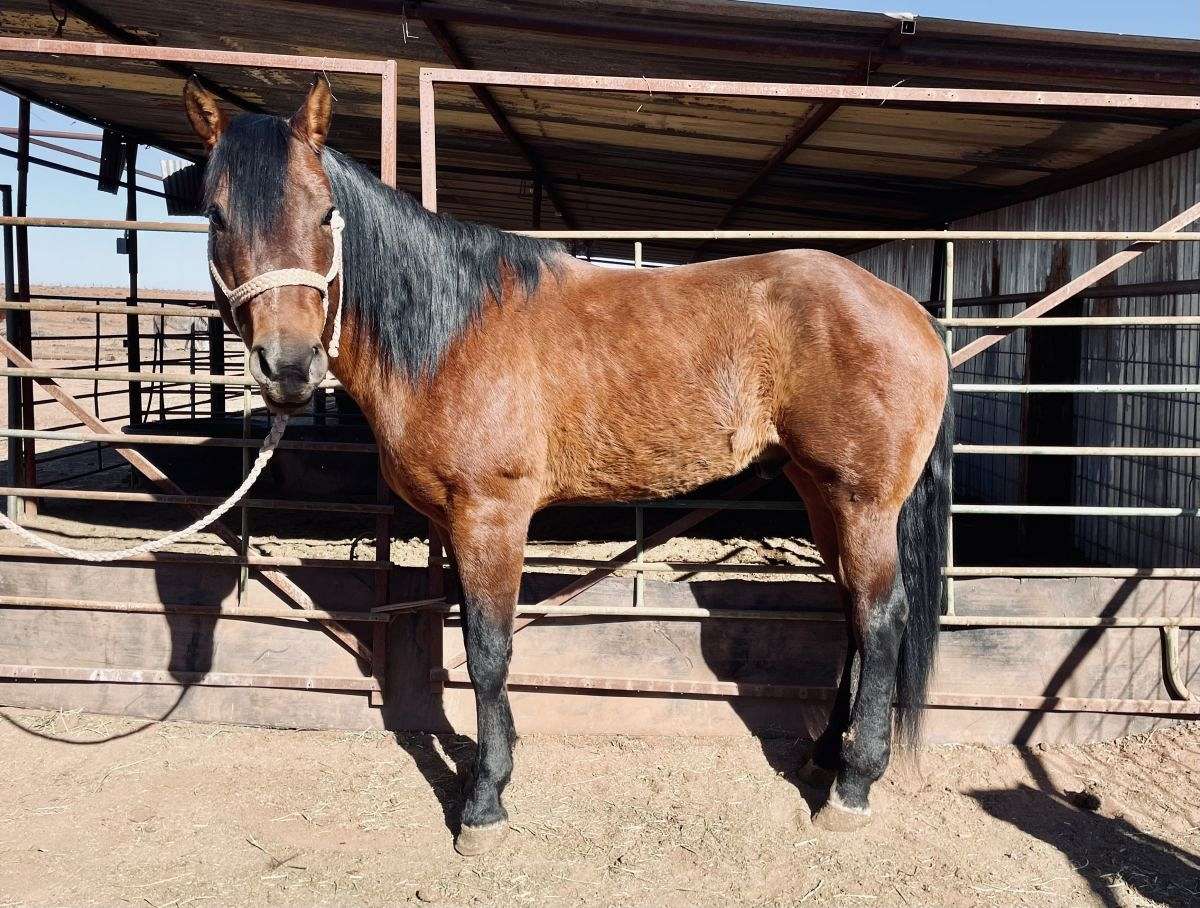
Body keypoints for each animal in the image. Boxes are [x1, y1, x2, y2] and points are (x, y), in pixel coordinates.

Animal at [183, 77, 952, 857]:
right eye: (216, 218)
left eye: (325, 213)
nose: (288, 366)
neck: (450, 334)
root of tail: (910, 311)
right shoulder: (459, 526)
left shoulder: (491, 516)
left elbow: (488, 652)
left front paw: (484, 802)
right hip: (820, 492)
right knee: (852, 608)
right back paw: (826, 755)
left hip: (862, 501)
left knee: (881, 615)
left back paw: (852, 786)